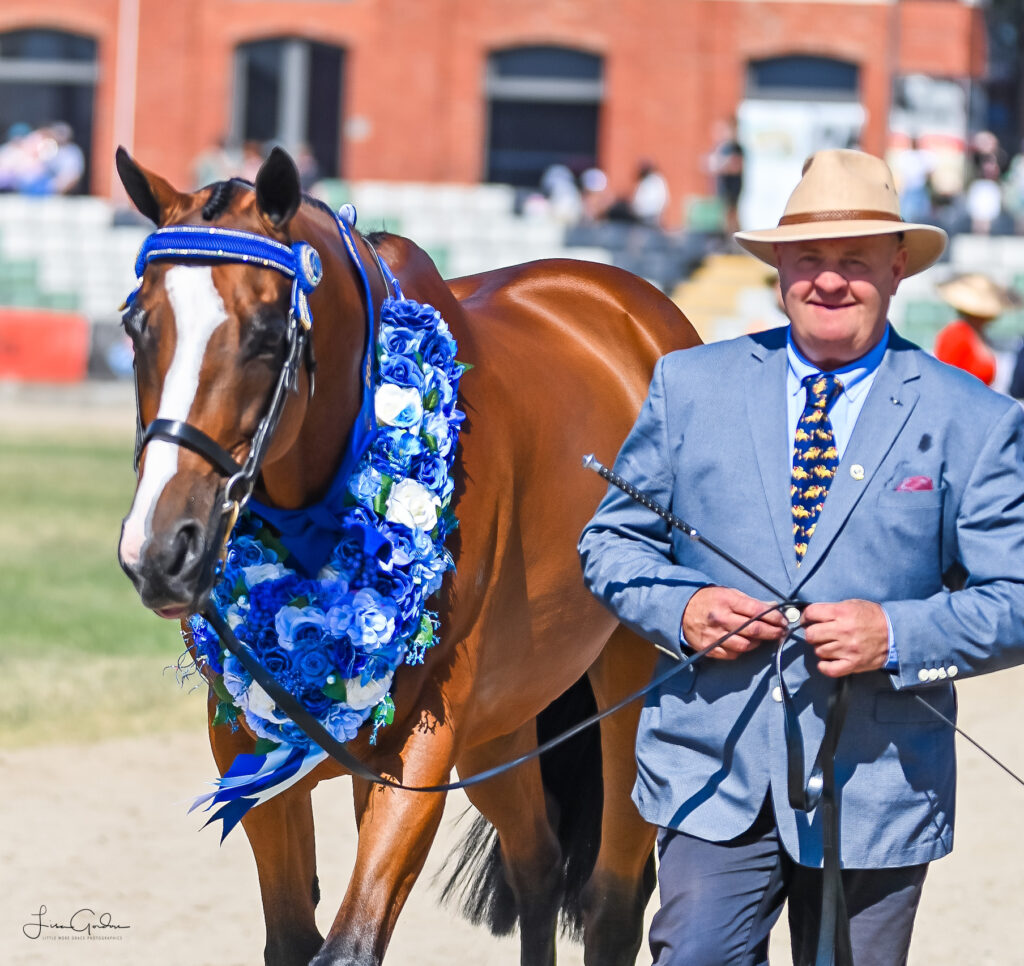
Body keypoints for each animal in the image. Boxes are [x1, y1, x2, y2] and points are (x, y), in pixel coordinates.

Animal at [115, 145, 701, 966]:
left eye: (267, 333)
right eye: (137, 324)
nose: (161, 548)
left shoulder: (420, 744)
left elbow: (349, 943)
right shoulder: (244, 742)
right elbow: (293, 937)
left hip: (629, 679)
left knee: (612, 899)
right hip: (503, 723)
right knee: (537, 864)